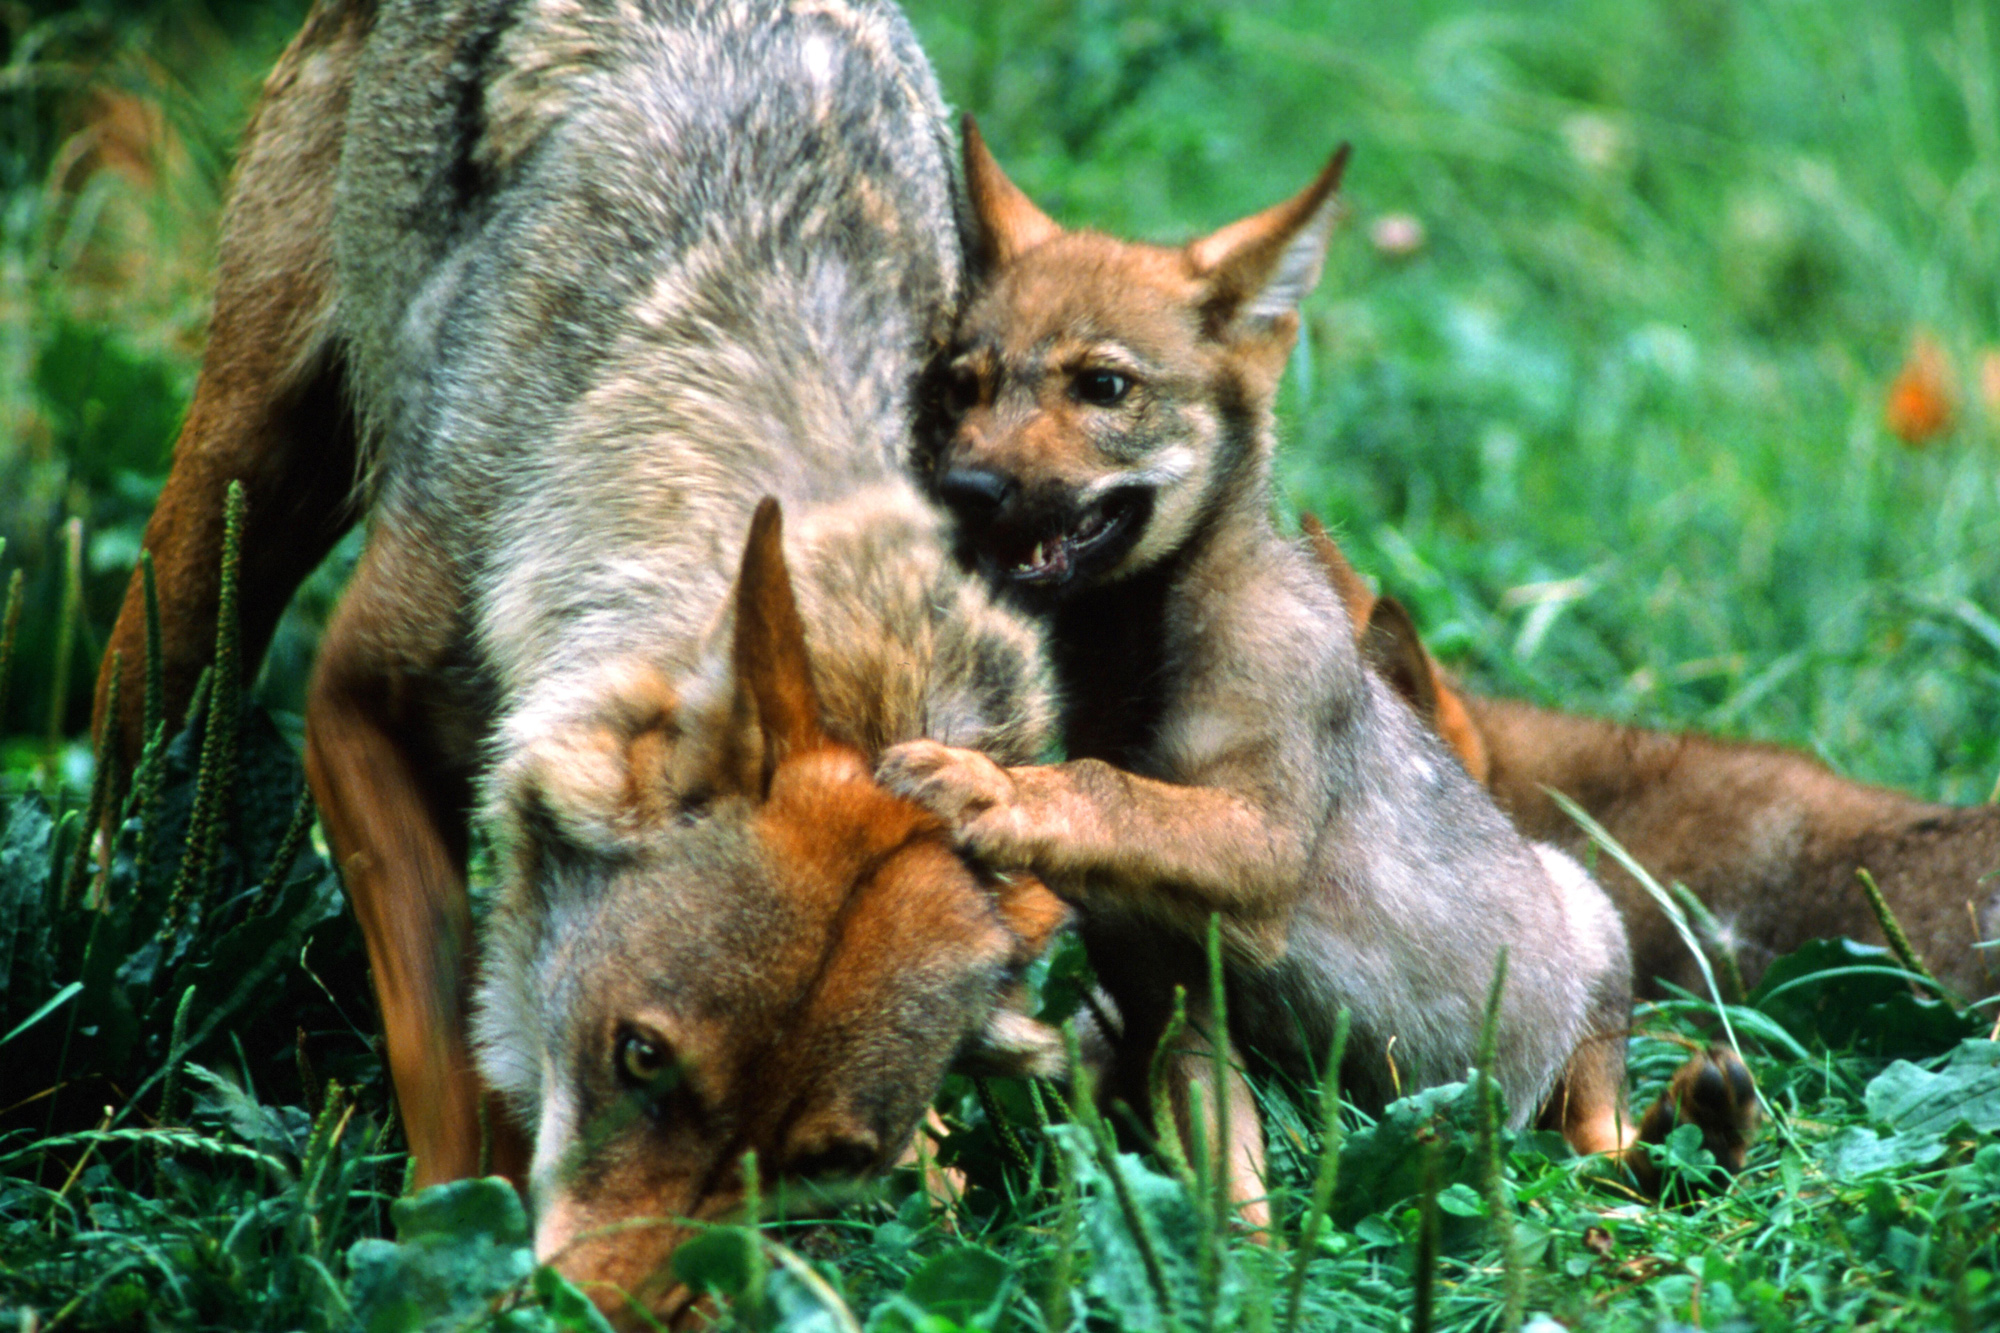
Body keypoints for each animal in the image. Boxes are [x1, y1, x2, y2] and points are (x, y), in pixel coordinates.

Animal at [90, 1, 1074, 1317]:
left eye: (819, 1163)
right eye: (641, 1056)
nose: (591, 1316)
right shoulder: (353, 704)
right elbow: (450, 1039)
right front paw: (444, 1248)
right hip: (231, 510)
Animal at [878, 125, 1756, 1212]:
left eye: (1104, 386)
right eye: (963, 385)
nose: (961, 487)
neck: (1137, 665)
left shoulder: (1261, 846)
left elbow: (1102, 788)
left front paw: (983, 785)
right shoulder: (1175, 1005)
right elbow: (1232, 1204)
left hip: (1584, 940)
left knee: (1603, 1147)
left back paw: (1697, 1123)